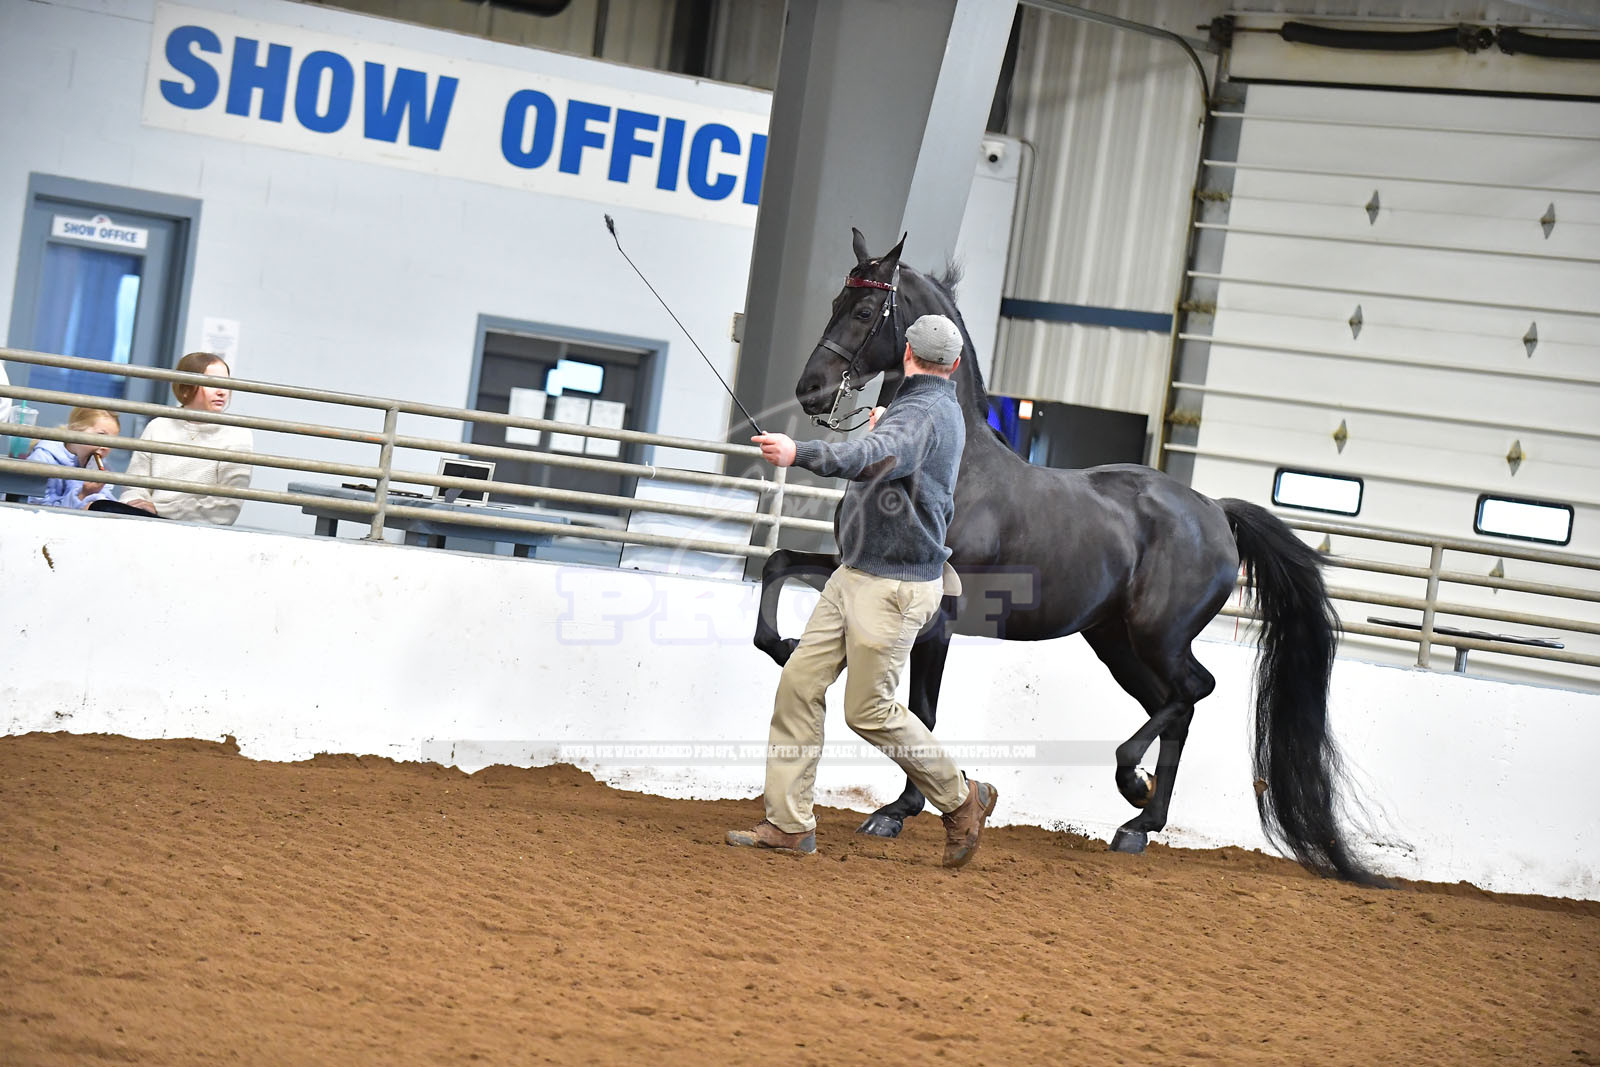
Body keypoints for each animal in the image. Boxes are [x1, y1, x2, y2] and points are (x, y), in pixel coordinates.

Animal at [752, 229, 1383, 886]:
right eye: (834, 301)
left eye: (866, 311)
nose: (810, 389)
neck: (952, 463)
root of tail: (1214, 509)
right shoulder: (863, 569)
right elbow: (777, 563)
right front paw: (788, 648)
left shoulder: (937, 620)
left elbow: (922, 712)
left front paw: (901, 810)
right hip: (1115, 641)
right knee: (1175, 706)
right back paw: (1139, 820)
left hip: (1158, 636)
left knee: (1194, 689)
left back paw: (1134, 789)